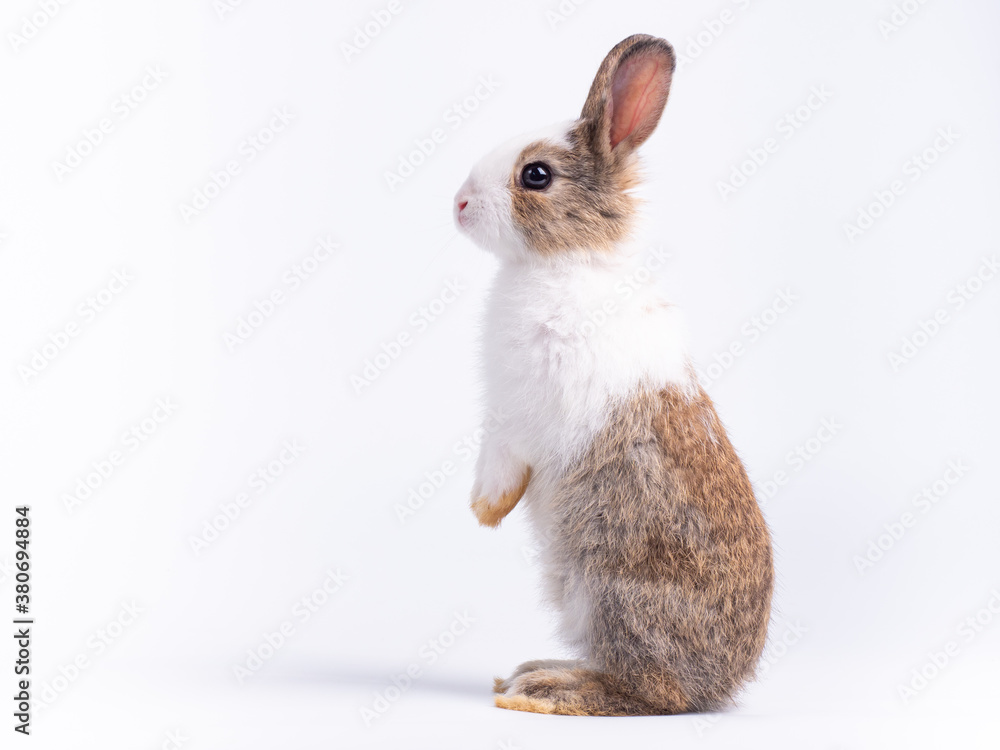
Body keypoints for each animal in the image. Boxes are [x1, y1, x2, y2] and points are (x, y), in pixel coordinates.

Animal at [453, 34, 774, 716]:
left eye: (536, 175)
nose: (459, 204)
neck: (565, 260)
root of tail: (721, 683)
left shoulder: (519, 413)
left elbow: (502, 458)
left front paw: (486, 510)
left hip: (606, 584)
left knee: (647, 692)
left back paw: (544, 690)